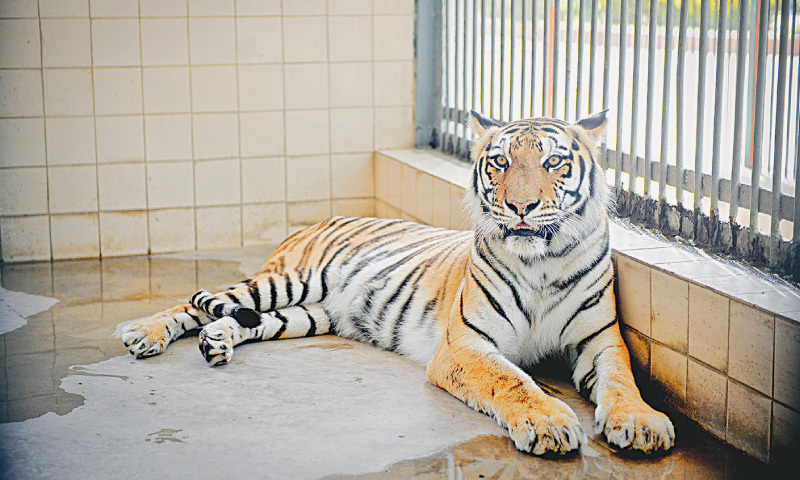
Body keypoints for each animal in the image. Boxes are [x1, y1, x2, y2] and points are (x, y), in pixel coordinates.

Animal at [120, 110, 674, 456]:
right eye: (500, 161)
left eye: (553, 161)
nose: (521, 206)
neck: (541, 262)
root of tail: (313, 222)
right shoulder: (466, 345)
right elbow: (512, 380)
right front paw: (549, 423)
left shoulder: (600, 340)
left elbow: (622, 380)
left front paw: (642, 423)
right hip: (287, 281)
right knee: (195, 304)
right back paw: (143, 334)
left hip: (306, 315)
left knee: (243, 320)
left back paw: (216, 342)